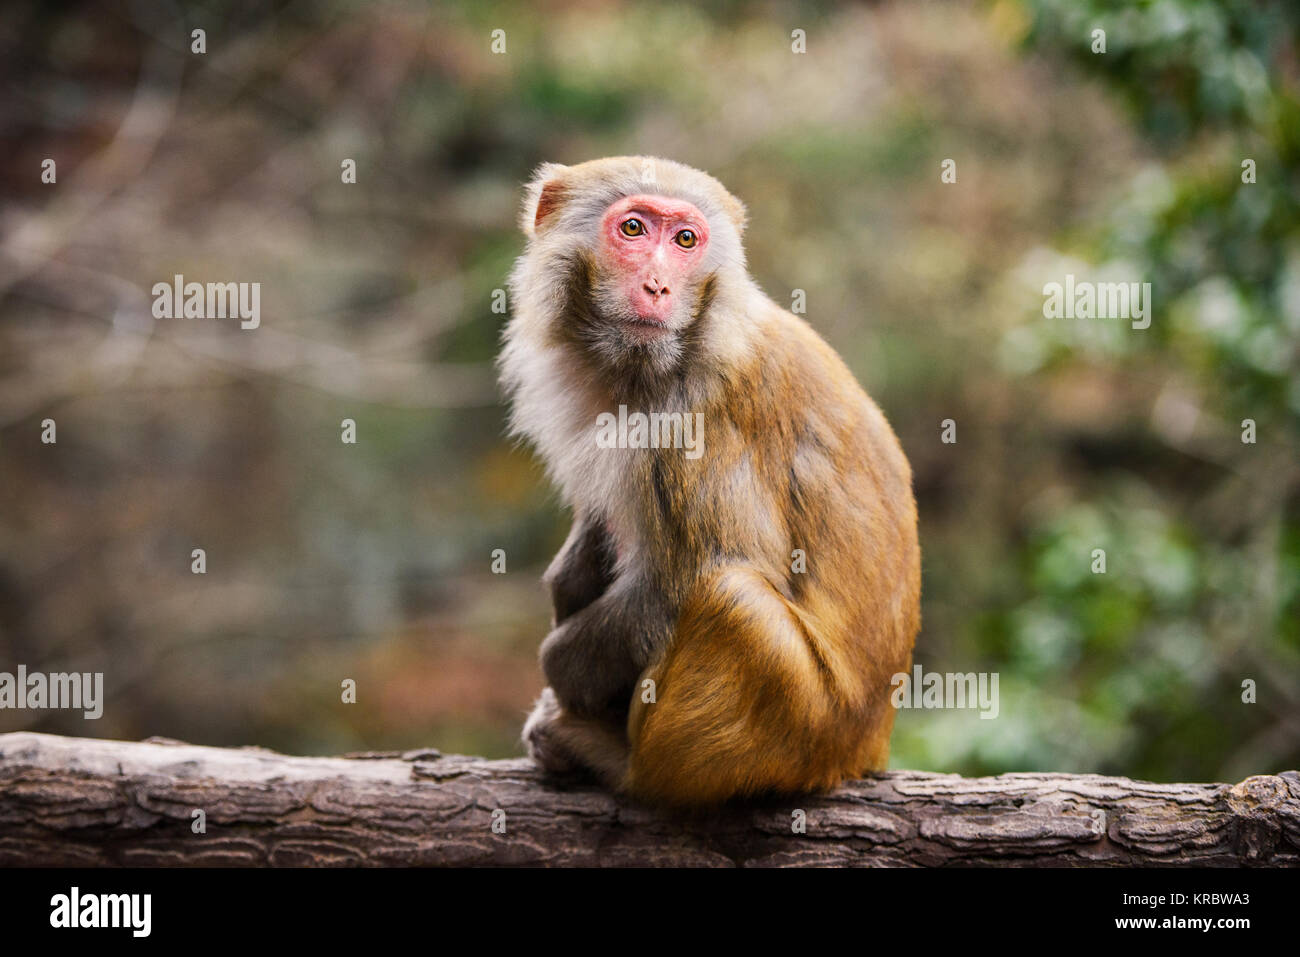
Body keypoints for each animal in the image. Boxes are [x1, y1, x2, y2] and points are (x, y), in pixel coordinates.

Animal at [499, 156, 920, 807]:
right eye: (633, 229)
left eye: (685, 241)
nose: (657, 287)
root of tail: (864, 748)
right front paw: (567, 577)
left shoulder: (696, 426)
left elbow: (693, 578)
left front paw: (561, 665)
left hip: (804, 731)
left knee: (733, 599)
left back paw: (615, 763)